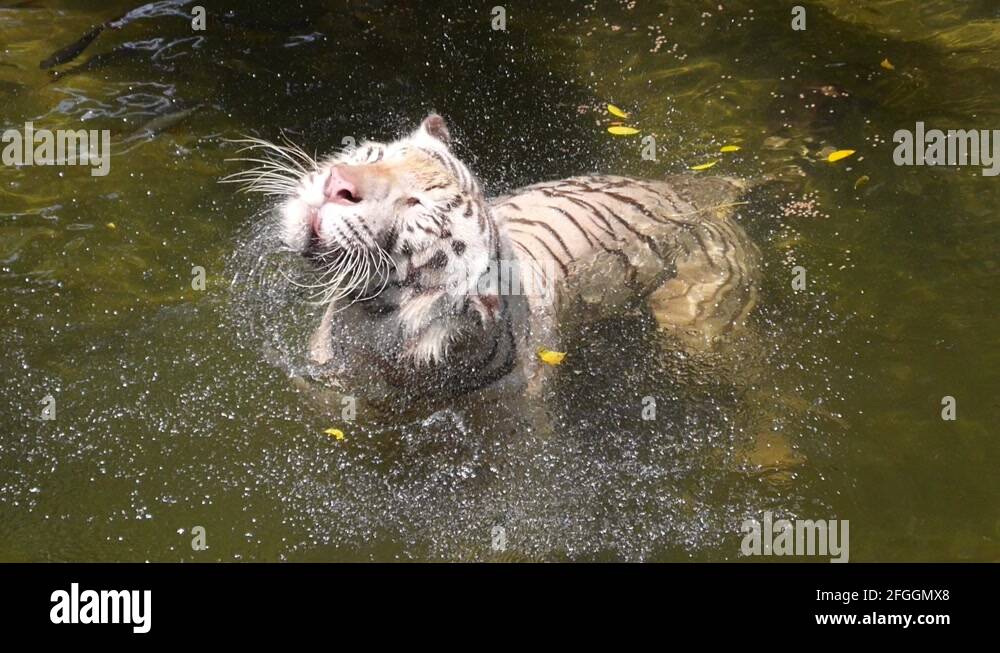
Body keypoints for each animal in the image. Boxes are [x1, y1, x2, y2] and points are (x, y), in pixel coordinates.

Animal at [231, 114, 760, 412]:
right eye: (375, 155)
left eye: (415, 205)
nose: (338, 183)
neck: (371, 334)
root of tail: (699, 196)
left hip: (699, 323)